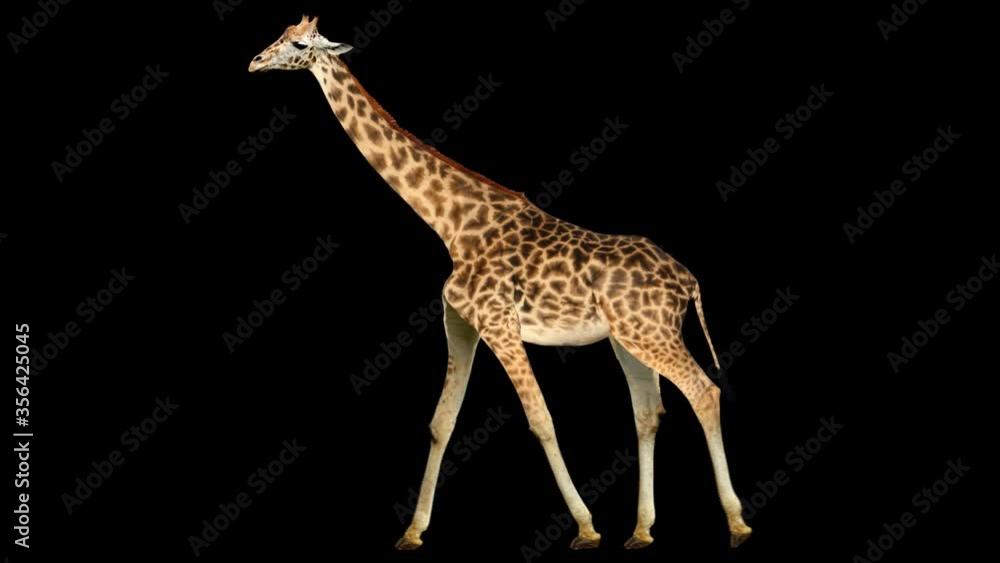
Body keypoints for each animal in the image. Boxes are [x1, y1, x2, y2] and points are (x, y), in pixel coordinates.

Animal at [250, 16, 753, 551]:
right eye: (279, 36)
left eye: (297, 44)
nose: (255, 61)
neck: (451, 224)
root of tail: (688, 281)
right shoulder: (461, 323)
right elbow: (441, 422)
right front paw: (412, 531)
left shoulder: (499, 323)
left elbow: (541, 419)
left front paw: (586, 527)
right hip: (628, 338)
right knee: (649, 411)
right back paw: (640, 530)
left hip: (652, 332)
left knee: (703, 392)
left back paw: (736, 523)